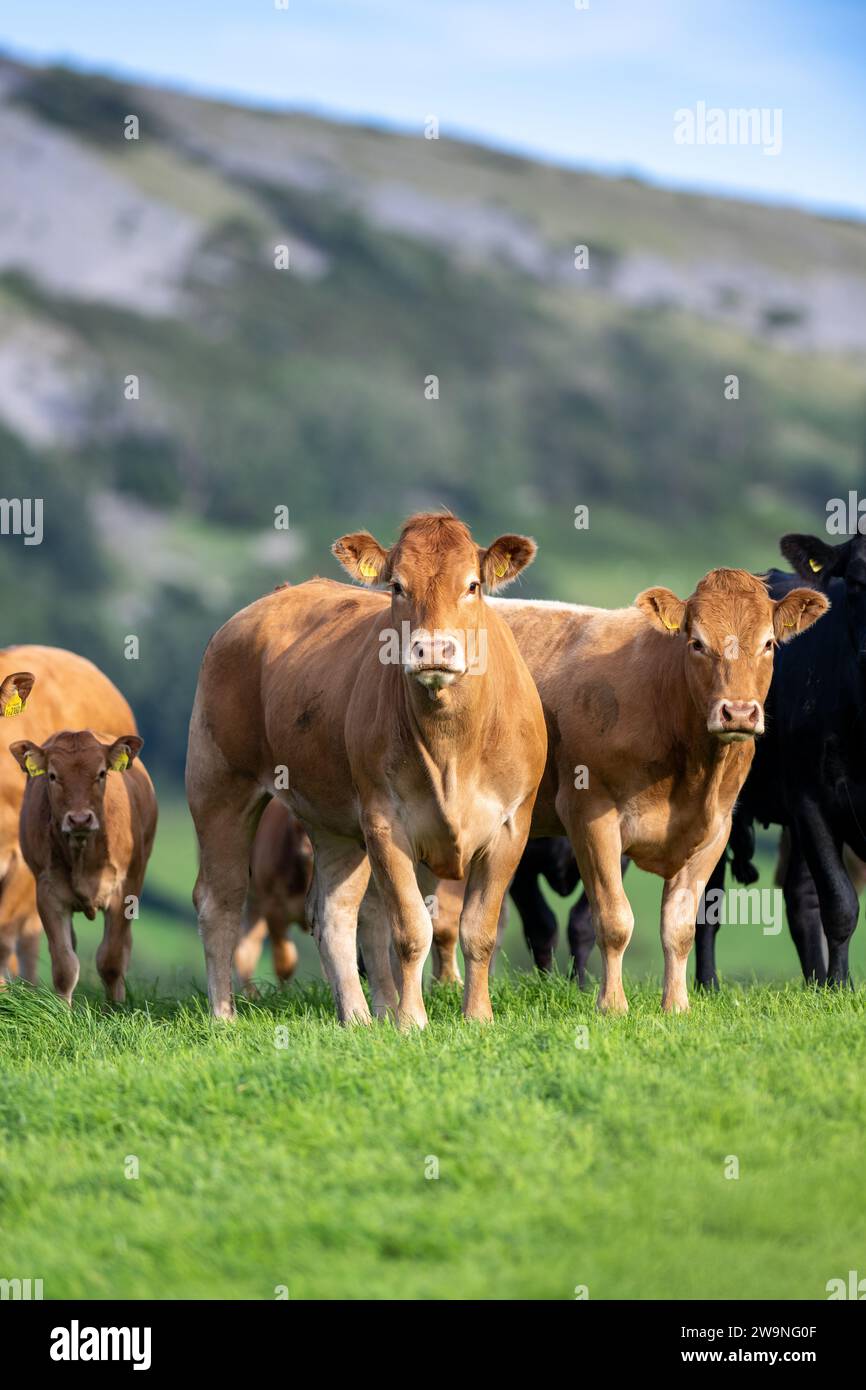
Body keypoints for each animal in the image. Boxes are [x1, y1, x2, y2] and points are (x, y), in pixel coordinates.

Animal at [10, 730, 157, 1003]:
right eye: (52, 775)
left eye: (102, 773)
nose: (80, 819)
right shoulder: (48, 894)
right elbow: (65, 965)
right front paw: (61, 1010)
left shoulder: (124, 890)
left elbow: (111, 961)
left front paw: (115, 1008)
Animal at [233, 799, 313, 995]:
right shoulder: (273, 907)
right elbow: (285, 960)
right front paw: (284, 995)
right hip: (252, 899)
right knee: (244, 948)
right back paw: (252, 995)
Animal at [694, 533, 866, 989]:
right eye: (856, 581)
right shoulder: (811, 799)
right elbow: (840, 903)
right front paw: (841, 987)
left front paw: (831, 986)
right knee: (705, 903)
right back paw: (706, 986)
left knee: (799, 897)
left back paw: (815, 982)